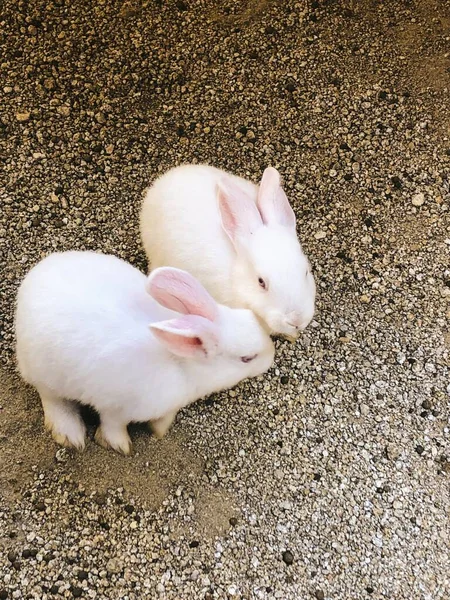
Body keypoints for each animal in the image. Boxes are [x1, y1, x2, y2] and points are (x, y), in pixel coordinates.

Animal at [14, 252, 274, 454]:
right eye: (247, 358)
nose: (271, 357)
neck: (181, 364)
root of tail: (31, 282)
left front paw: (158, 431)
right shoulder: (116, 408)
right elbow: (112, 427)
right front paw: (120, 446)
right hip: (47, 375)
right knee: (53, 401)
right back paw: (70, 436)